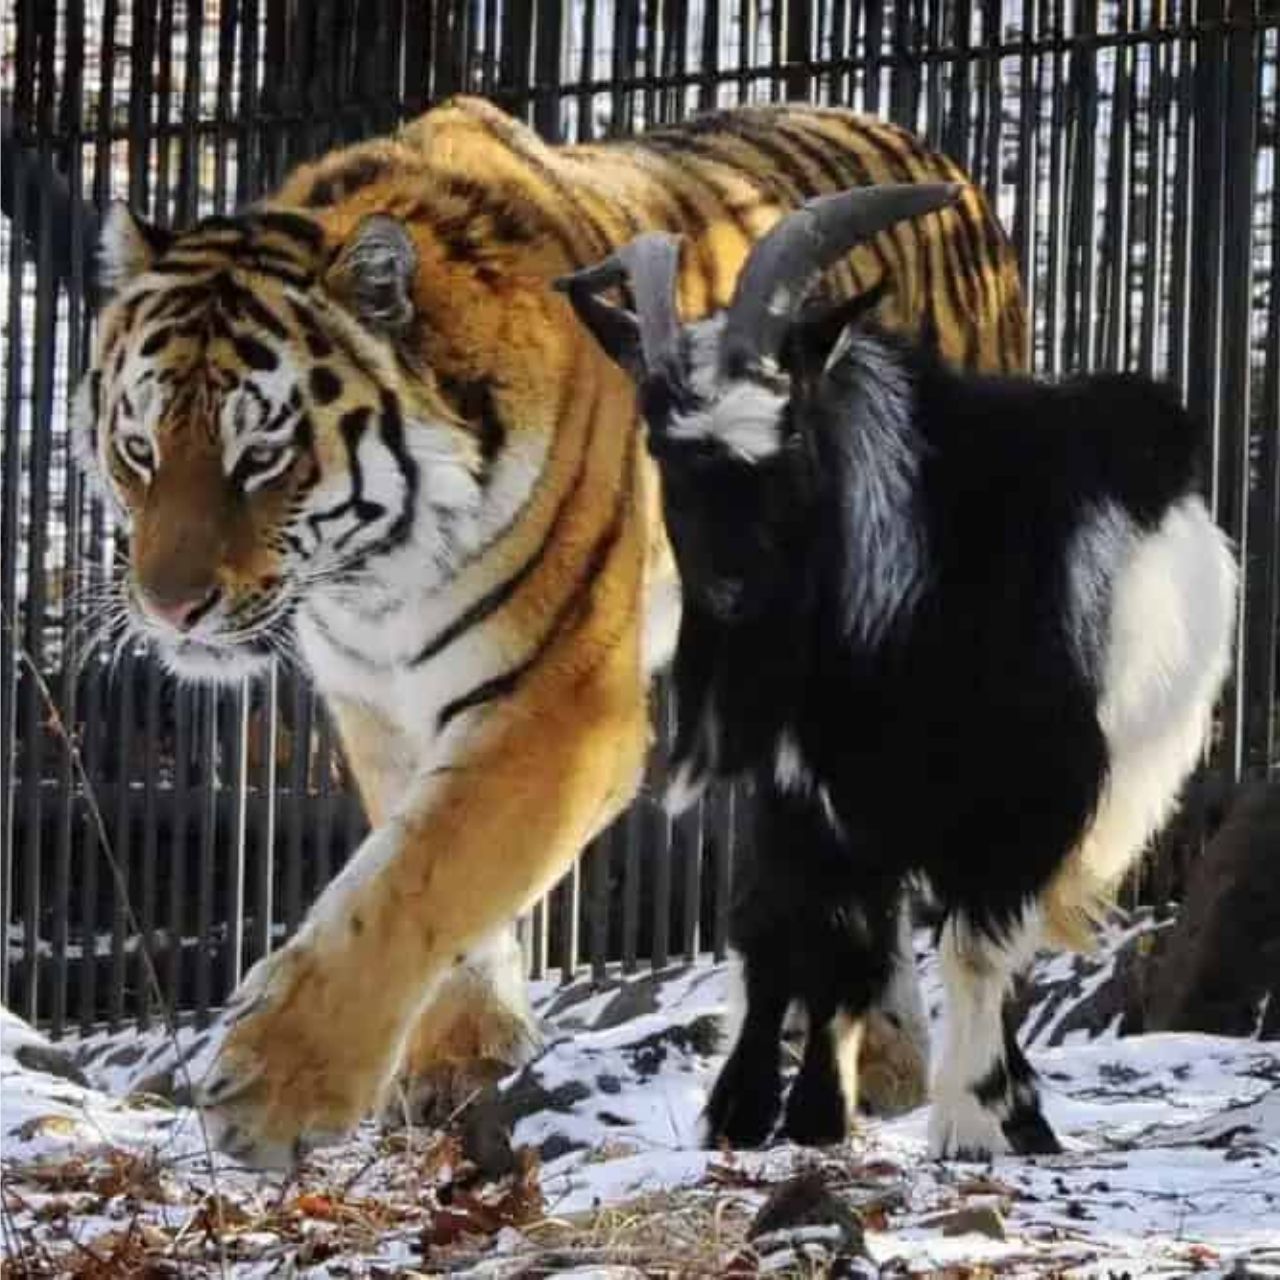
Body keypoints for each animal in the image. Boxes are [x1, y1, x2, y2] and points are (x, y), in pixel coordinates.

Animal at [74, 95, 1025, 1166]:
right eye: (139, 449)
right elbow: (412, 859)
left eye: (262, 457)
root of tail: (947, 168)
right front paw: (461, 1058)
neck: (376, 576)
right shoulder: (380, 701)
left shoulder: (560, 704)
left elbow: (425, 870)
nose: (169, 607)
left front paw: (275, 1087)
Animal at [556, 186, 1238, 1159]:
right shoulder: (806, 797)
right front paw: (763, 1111)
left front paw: (971, 1120)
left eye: (792, 430)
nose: (731, 590)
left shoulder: (1023, 801)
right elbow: (792, 937)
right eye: (662, 447)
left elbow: (970, 951)